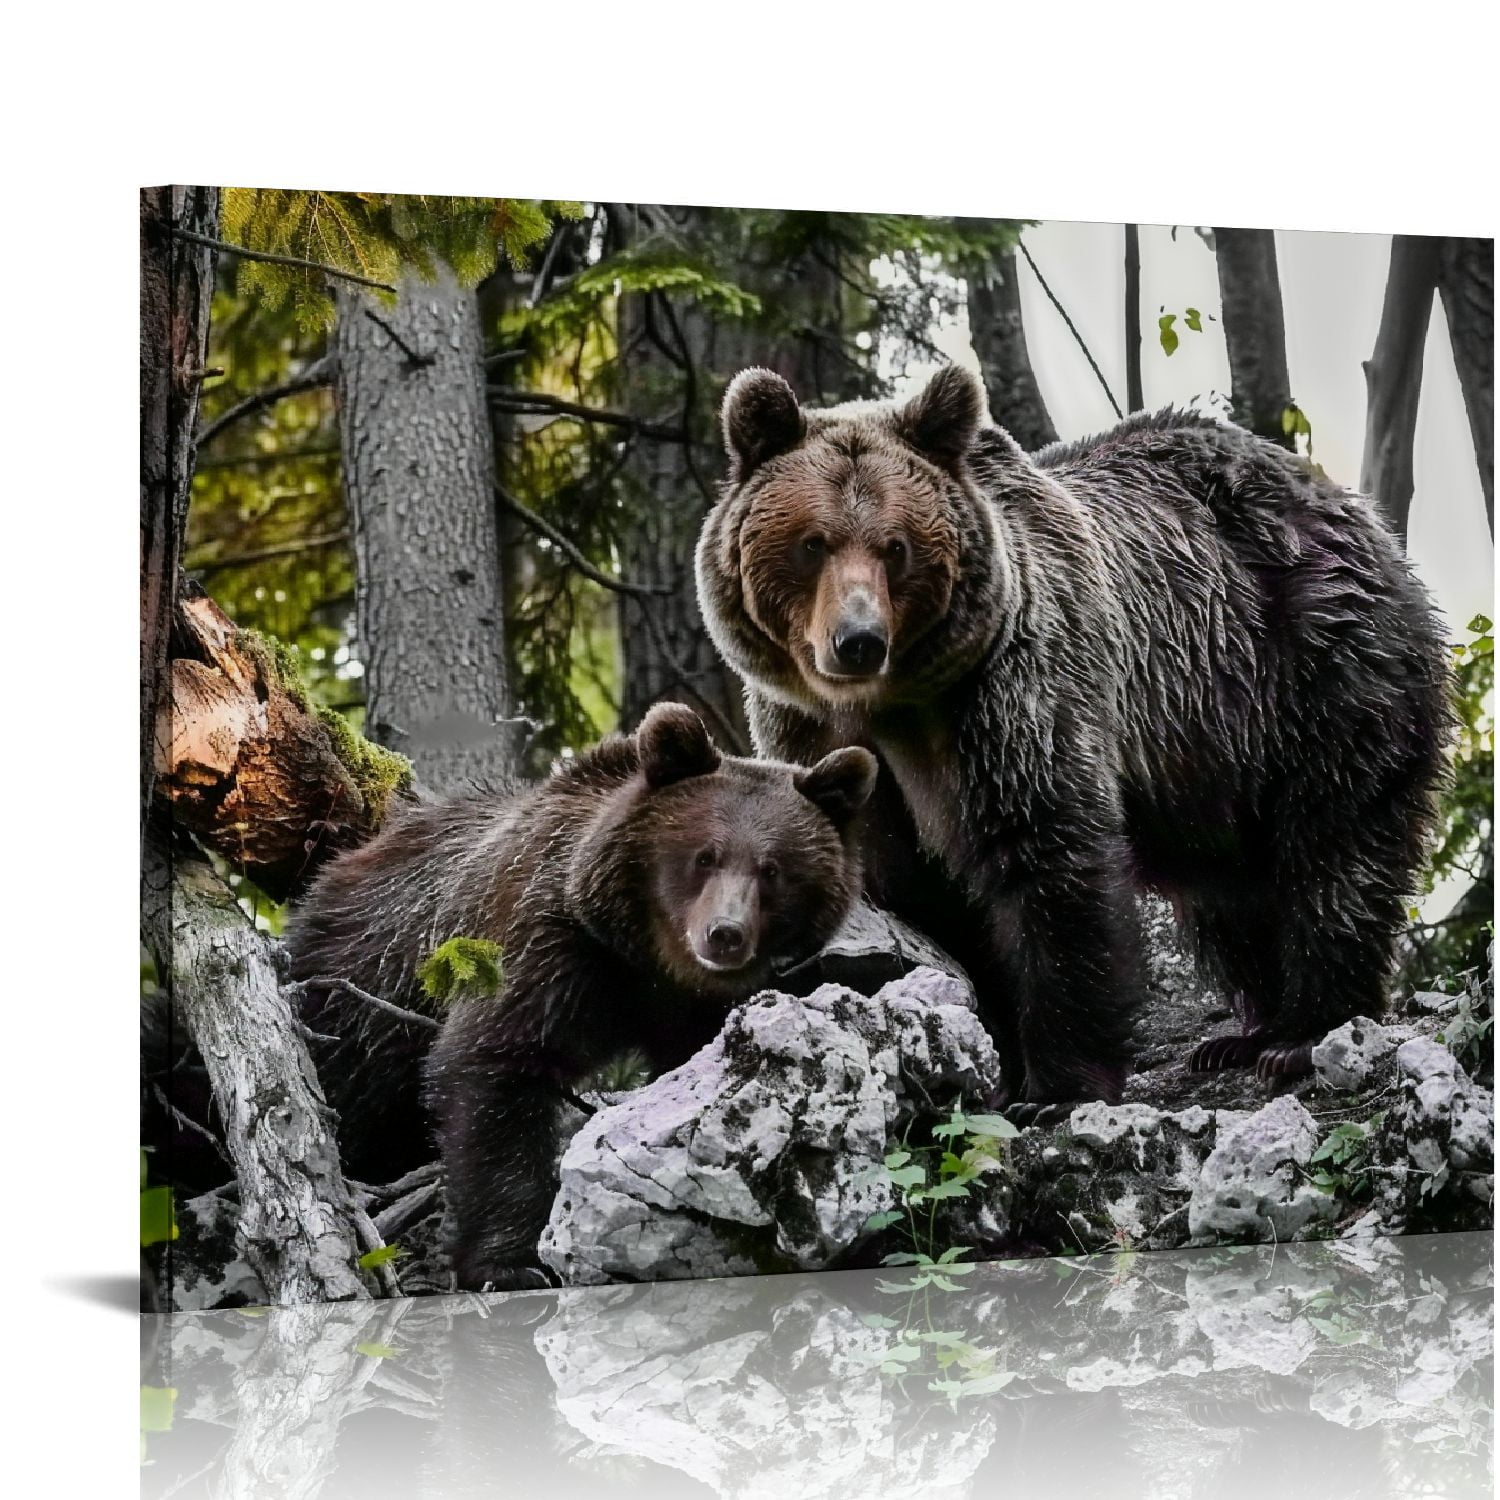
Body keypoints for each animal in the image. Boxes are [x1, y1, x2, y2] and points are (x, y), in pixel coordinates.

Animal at [285, 701, 876, 1287]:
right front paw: (511, 1263)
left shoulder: (693, 1009)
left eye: (773, 869)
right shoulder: (548, 946)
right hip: (364, 988)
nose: (725, 933)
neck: (649, 964)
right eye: (705, 856)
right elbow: (495, 1067)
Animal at [696, 362, 1451, 1115]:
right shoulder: (816, 738)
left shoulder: (1010, 688)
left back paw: (1303, 1031)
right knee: (1229, 893)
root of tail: (1345, 501)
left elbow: (1047, 848)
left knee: (1334, 841)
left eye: (896, 547)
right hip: (1211, 757)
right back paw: (1246, 1031)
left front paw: (1054, 1086)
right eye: (813, 543)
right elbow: (914, 889)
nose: (858, 641)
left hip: (1313, 660)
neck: (890, 705)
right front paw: (990, 1057)